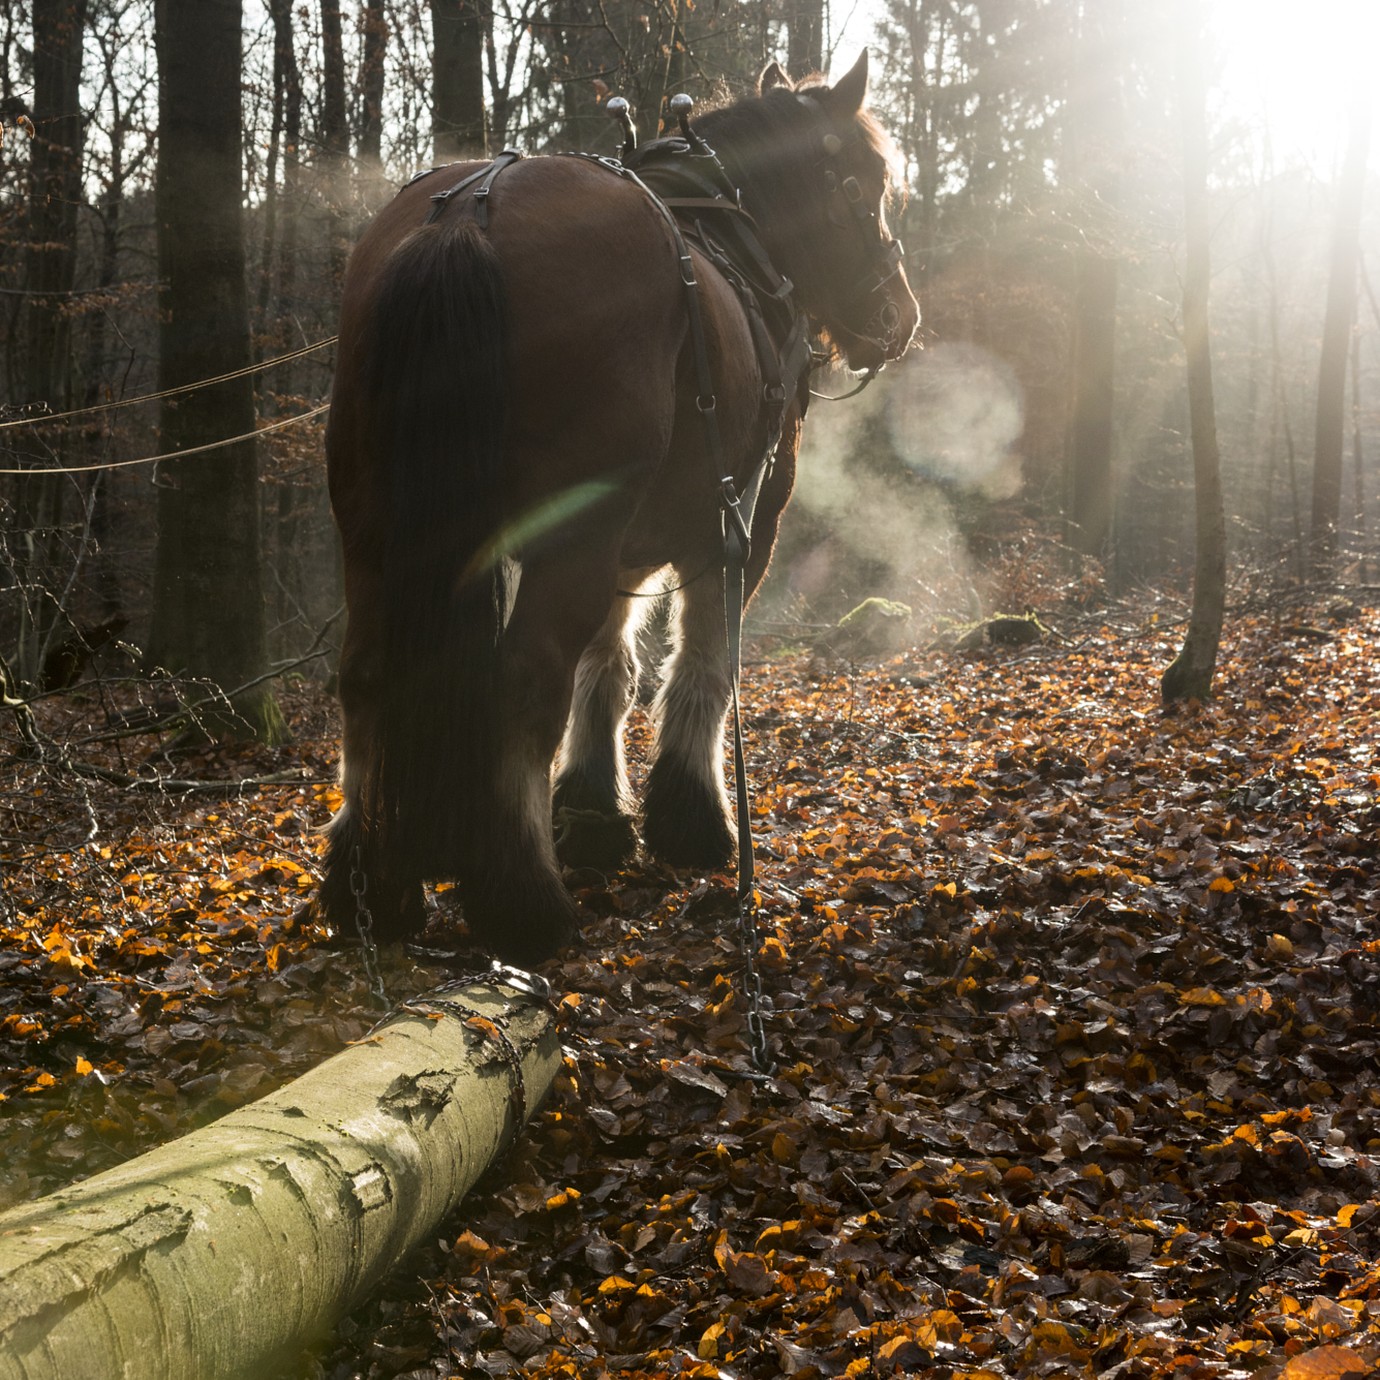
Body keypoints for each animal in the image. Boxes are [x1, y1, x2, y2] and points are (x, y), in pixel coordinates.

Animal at [317, 52, 918, 968]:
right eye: (872, 184)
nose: (898, 316)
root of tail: (471, 216)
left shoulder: (629, 534)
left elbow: (609, 662)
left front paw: (593, 809)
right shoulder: (740, 518)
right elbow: (704, 659)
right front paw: (691, 817)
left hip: (376, 521)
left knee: (367, 677)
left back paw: (371, 888)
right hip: (572, 527)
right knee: (525, 677)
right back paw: (523, 900)